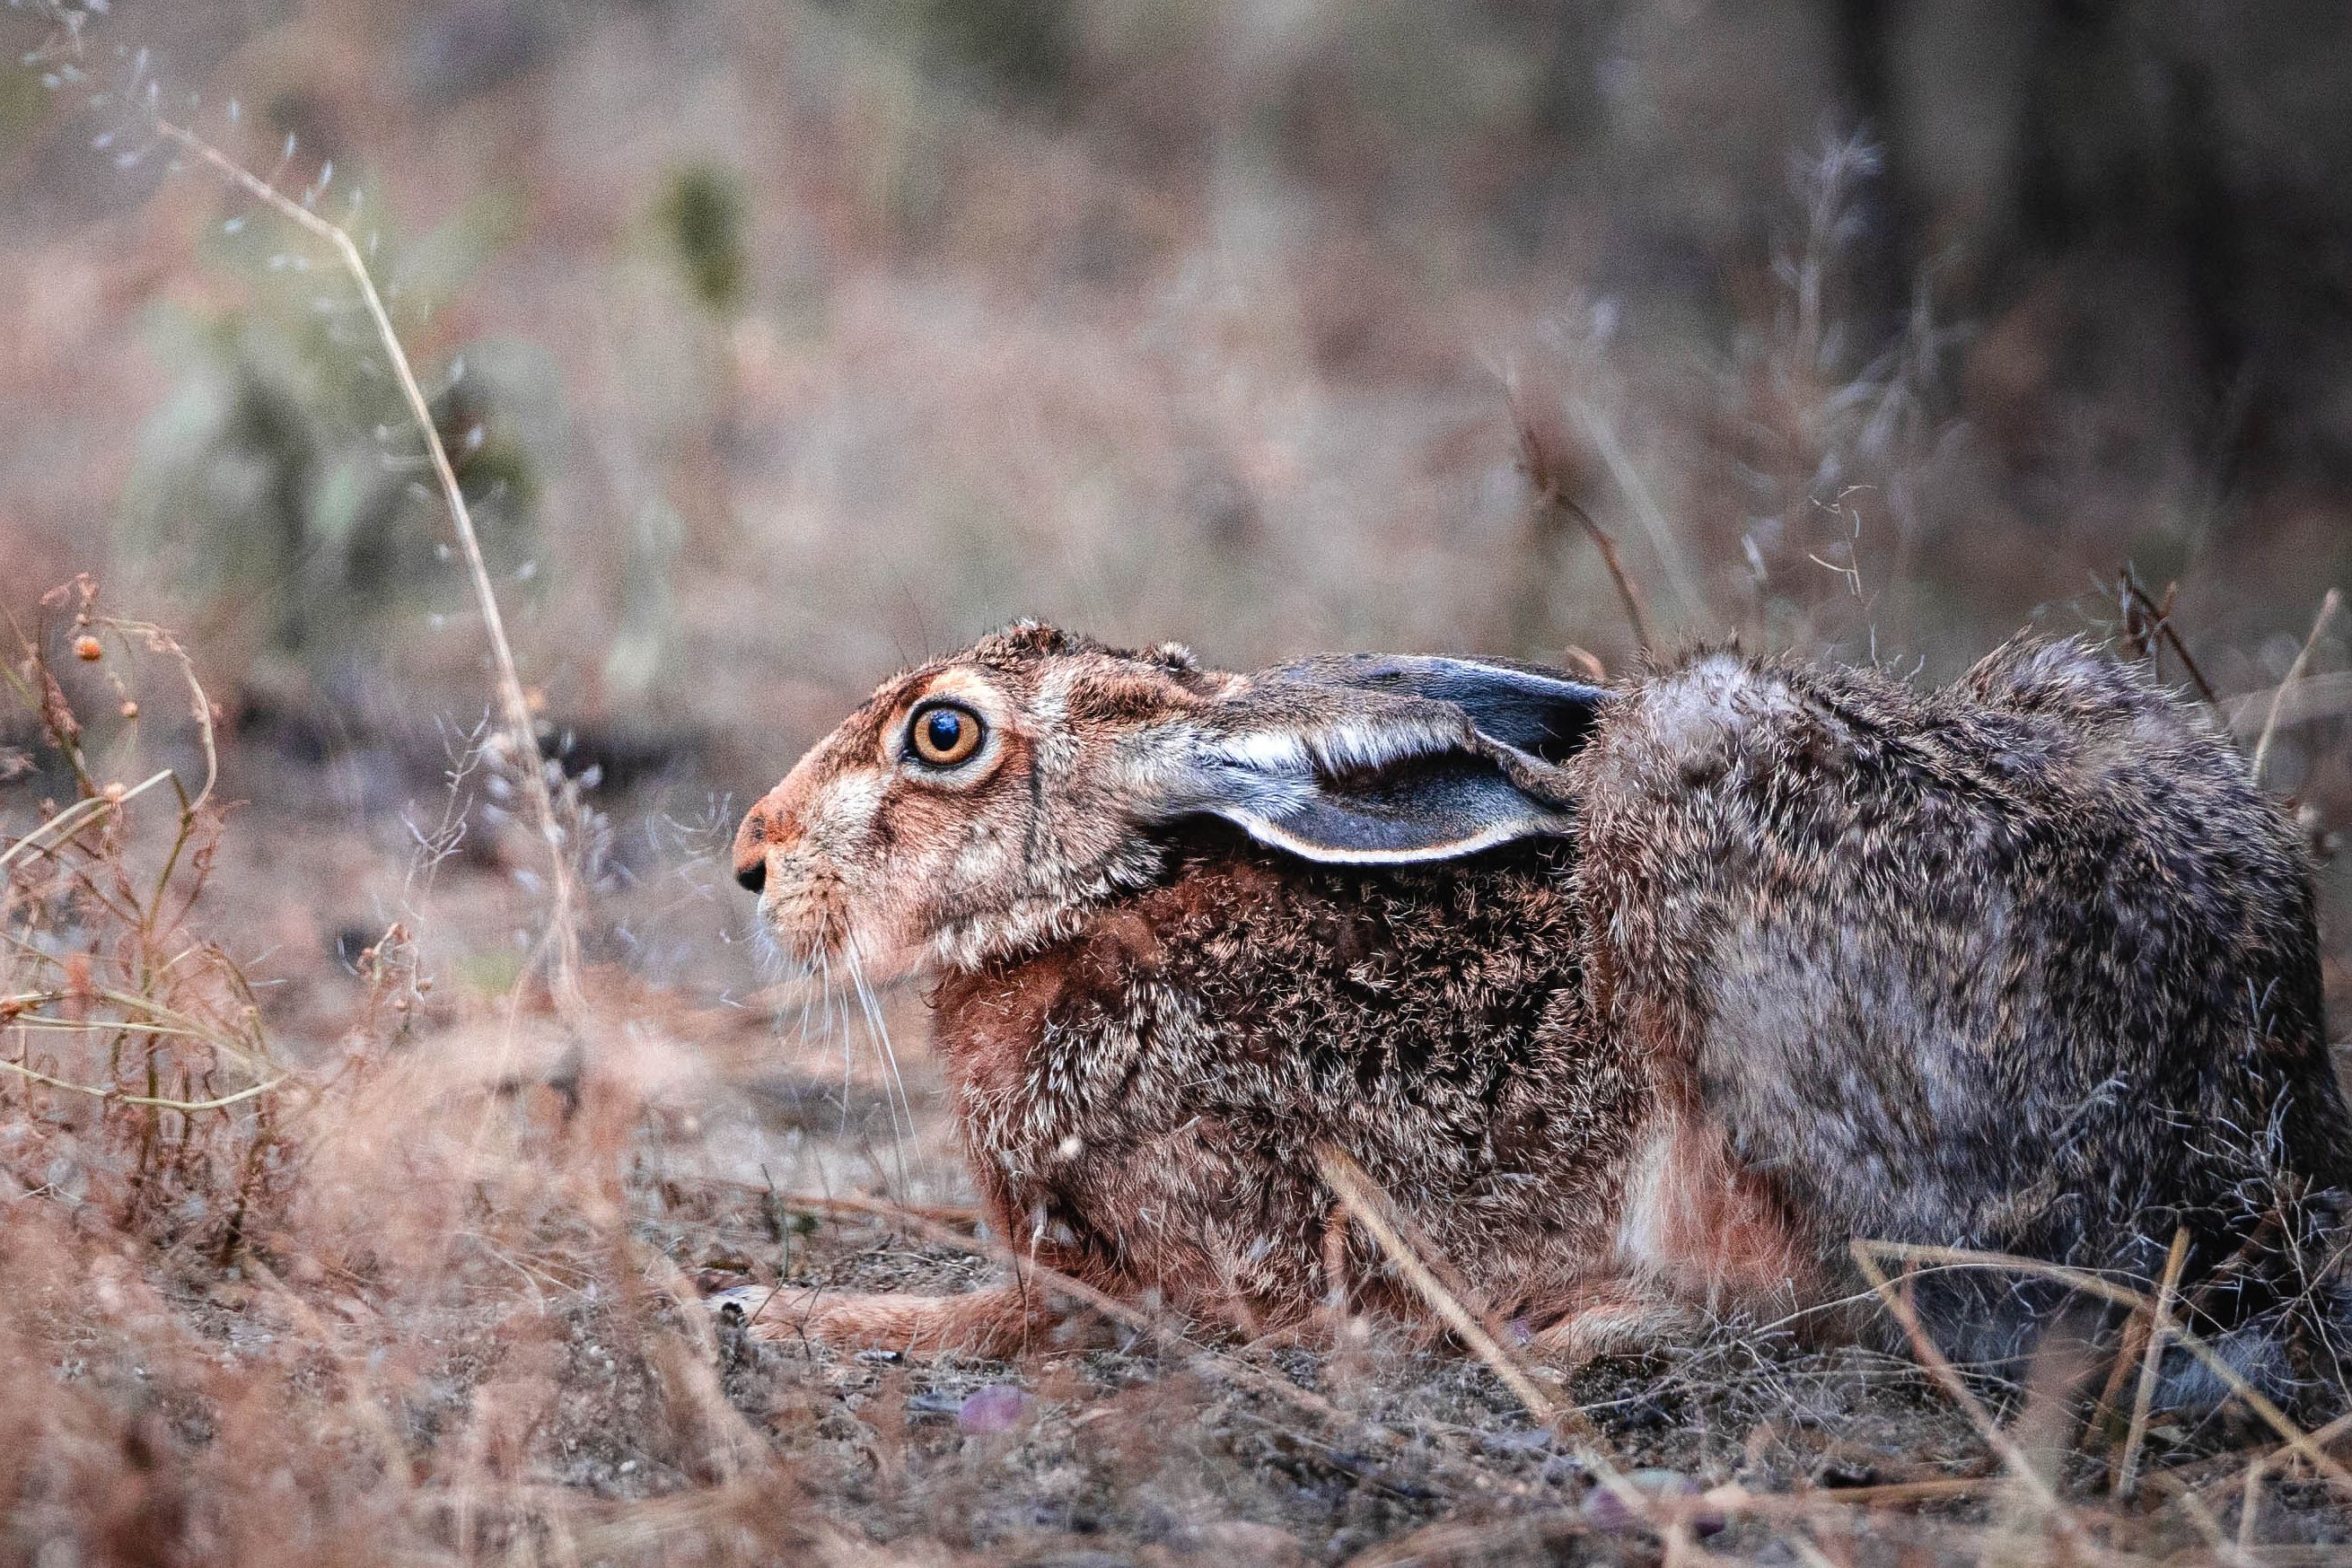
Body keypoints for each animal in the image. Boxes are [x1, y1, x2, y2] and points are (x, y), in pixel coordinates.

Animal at [718, 620, 2352, 1404]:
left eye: (943, 735)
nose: (752, 858)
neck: (1095, 900)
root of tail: (2263, 1135)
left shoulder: (1156, 1277)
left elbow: (986, 1322)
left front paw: (759, 1309)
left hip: (1703, 804)